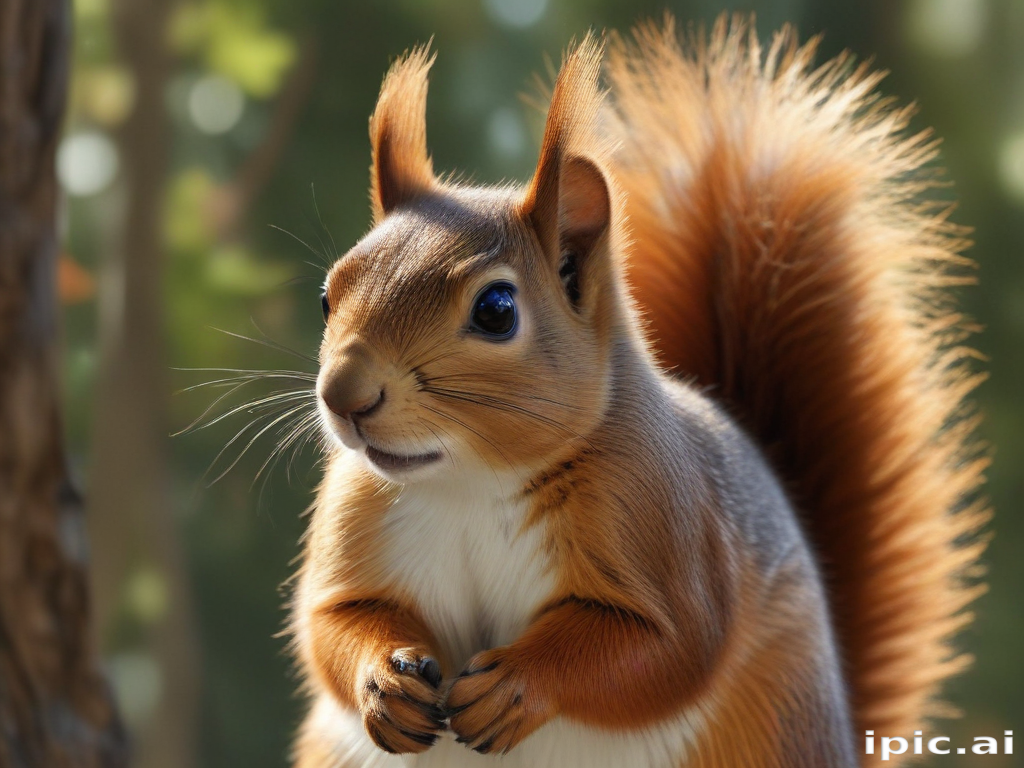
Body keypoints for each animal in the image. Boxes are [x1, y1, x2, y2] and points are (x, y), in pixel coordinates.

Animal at [289, 16, 987, 768]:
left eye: (497, 310)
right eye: (329, 295)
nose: (344, 396)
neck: (468, 484)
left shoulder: (660, 517)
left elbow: (665, 648)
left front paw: (515, 685)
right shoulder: (356, 512)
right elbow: (330, 621)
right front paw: (383, 684)